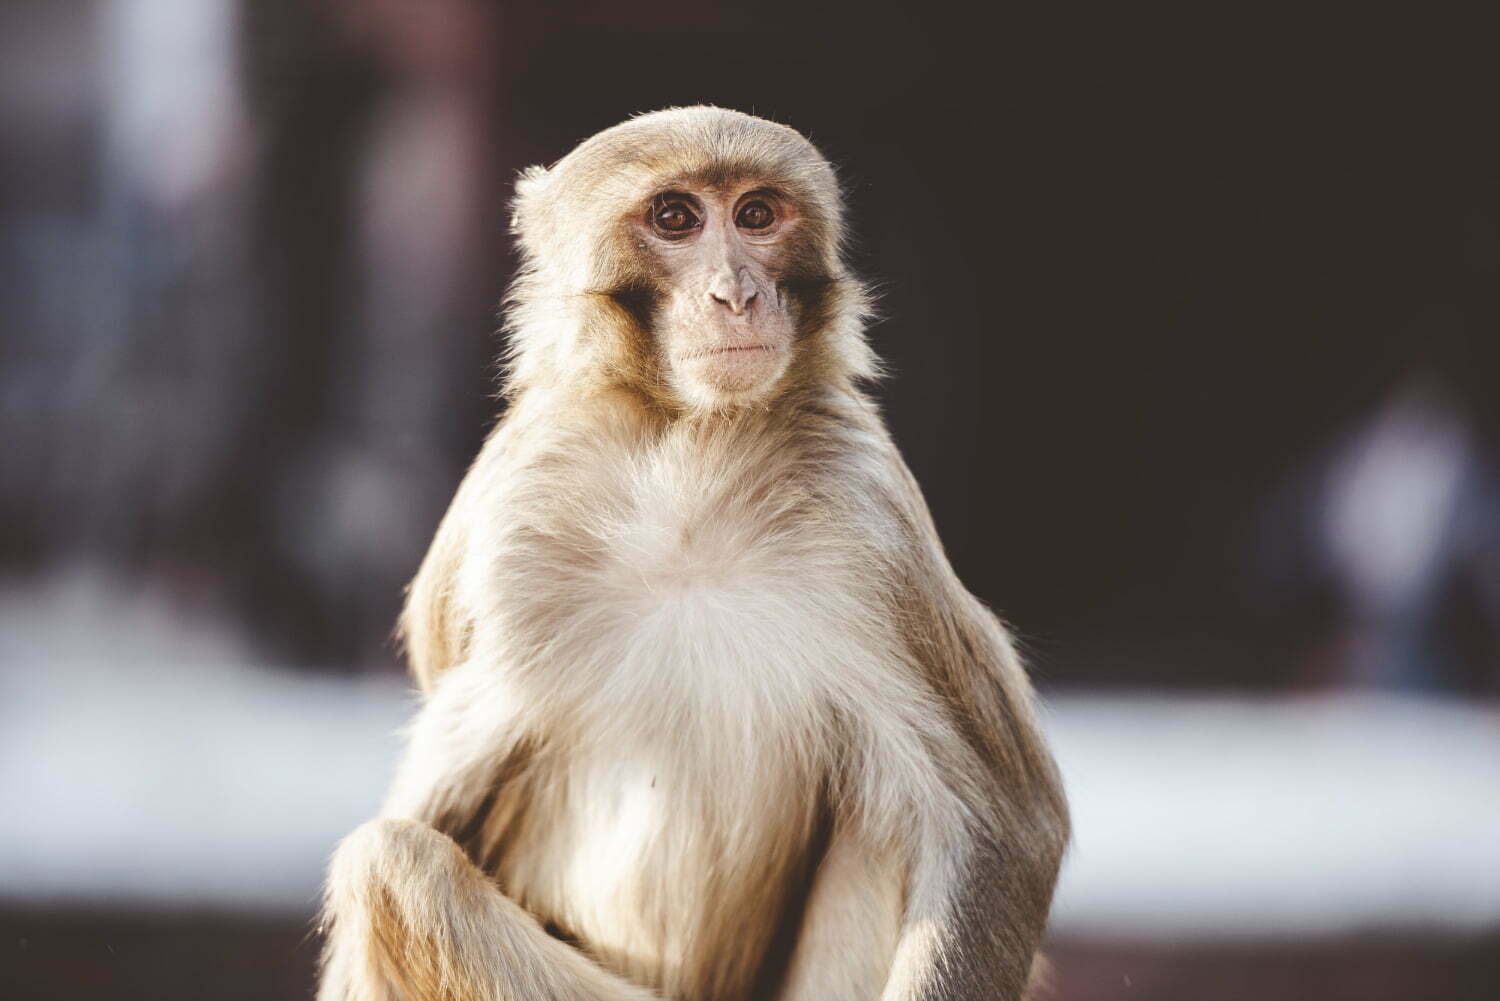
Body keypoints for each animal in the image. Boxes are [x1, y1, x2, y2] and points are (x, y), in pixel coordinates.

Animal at [317, 106, 1069, 1001]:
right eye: (676, 217)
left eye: (757, 214)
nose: (737, 293)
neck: (688, 461)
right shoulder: (512, 524)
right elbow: (422, 813)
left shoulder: (867, 513)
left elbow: (1005, 822)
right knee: (391, 857)